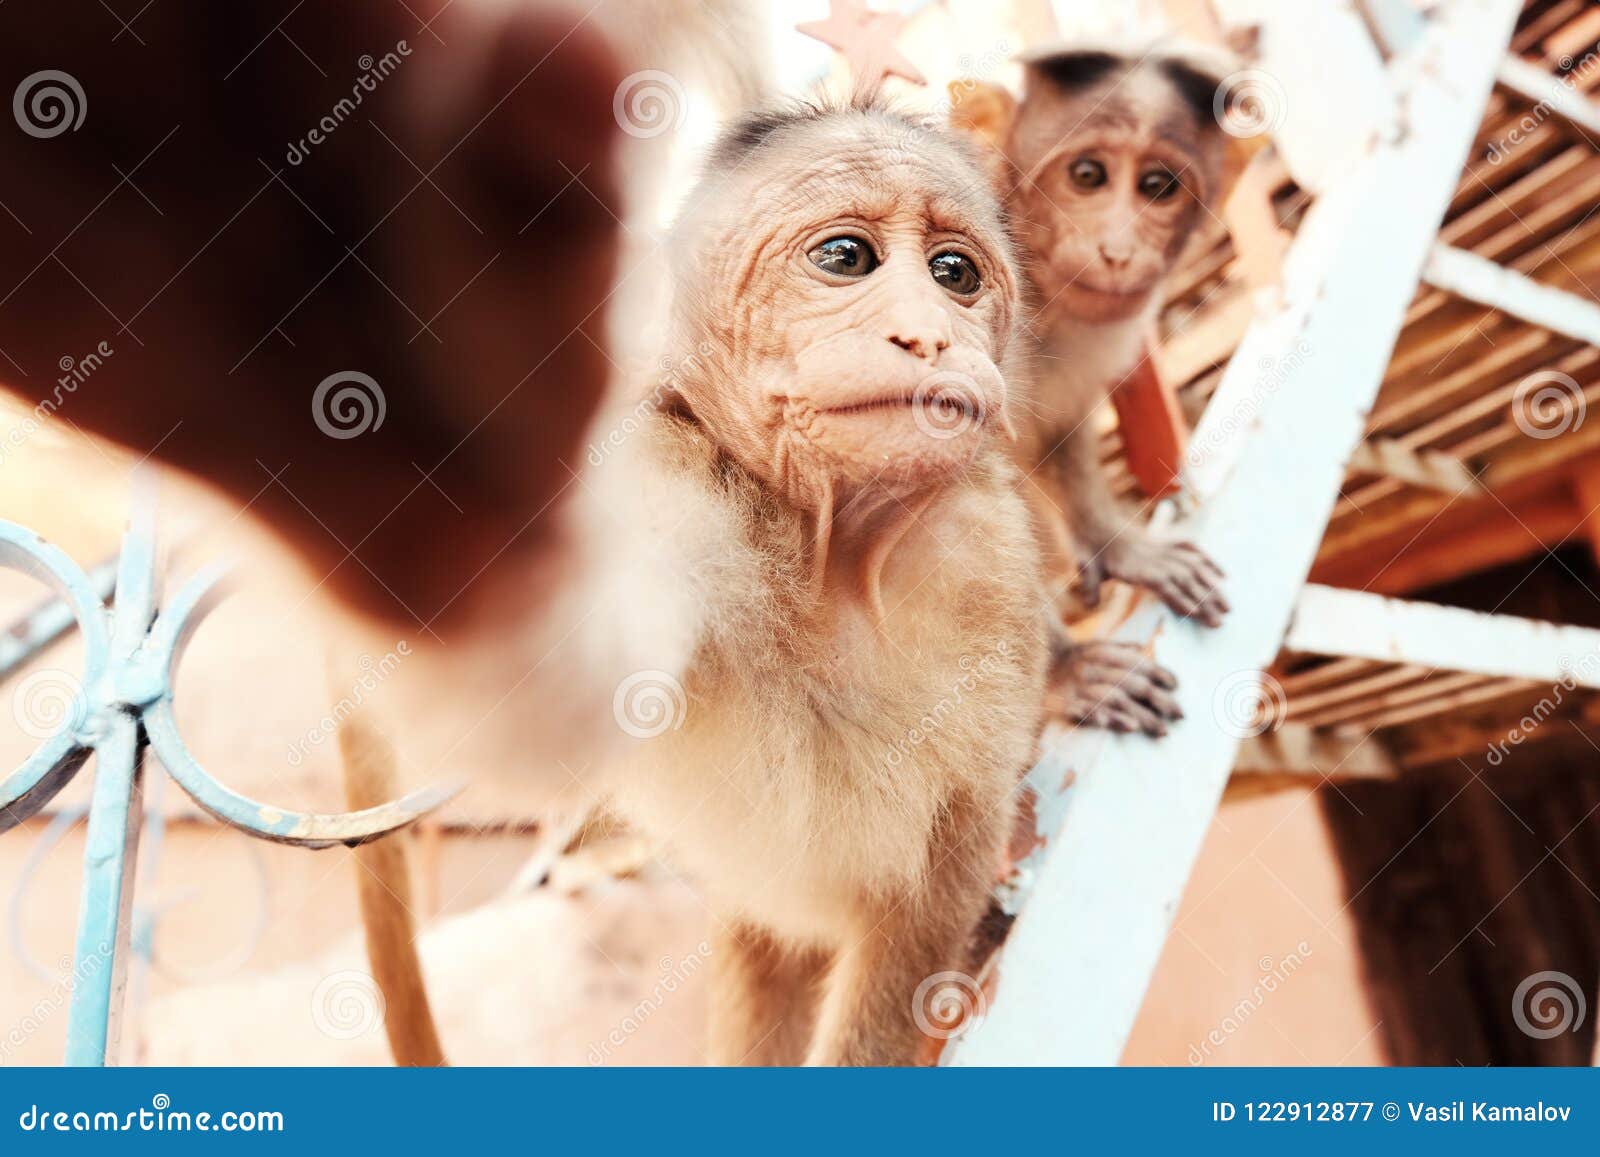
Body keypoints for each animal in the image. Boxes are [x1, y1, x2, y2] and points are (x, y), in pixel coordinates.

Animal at [952, 42, 1257, 731]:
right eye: (1088, 176)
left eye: (1157, 187)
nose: (1118, 249)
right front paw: (1068, 672)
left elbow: (1059, 429)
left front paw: (1118, 549)